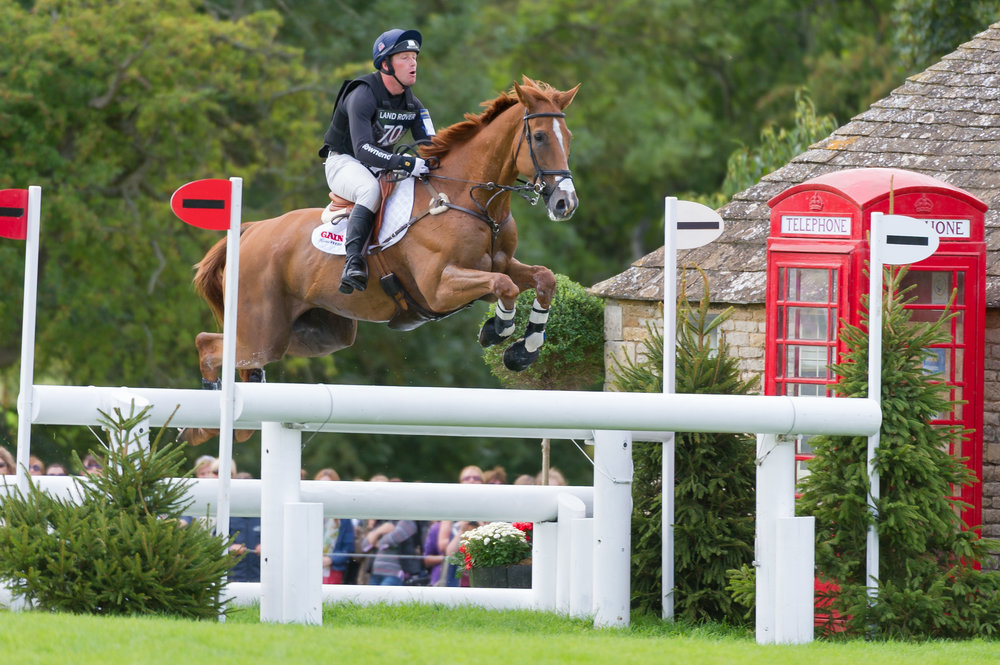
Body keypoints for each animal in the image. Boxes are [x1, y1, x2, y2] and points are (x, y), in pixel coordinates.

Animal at [181, 77, 580, 445]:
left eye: (569, 136)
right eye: (540, 137)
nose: (566, 203)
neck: (472, 201)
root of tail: (250, 231)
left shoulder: (497, 265)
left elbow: (542, 279)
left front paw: (523, 350)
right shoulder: (440, 287)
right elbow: (505, 287)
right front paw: (496, 331)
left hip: (315, 334)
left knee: (227, 350)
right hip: (263, 332)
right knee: (210, 345)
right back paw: (201, 420)